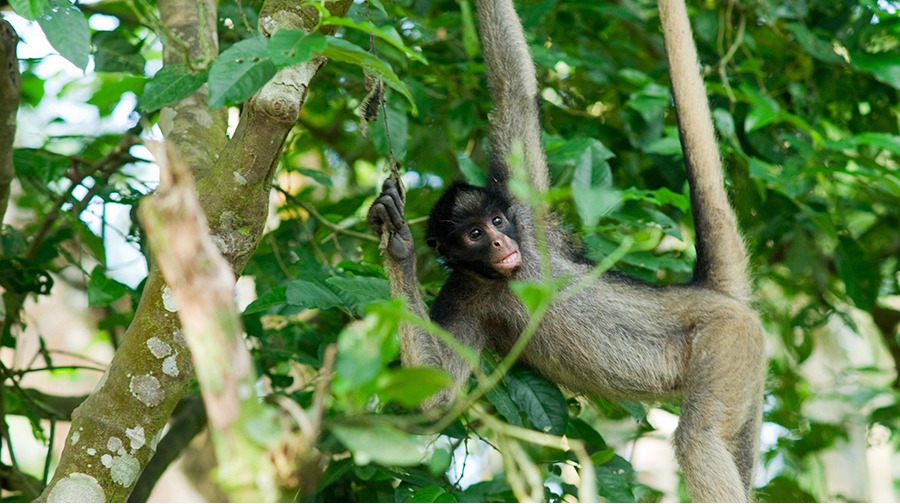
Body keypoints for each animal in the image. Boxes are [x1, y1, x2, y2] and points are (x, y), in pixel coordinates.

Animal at [366, 0, 766, 501]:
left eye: (495, 222)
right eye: (474, 234)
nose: (500, 242)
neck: (504, 277)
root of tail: (708, 293)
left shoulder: (527, 216)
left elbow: (515, 89)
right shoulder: (462, 294)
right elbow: (437, 399)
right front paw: (398, 245)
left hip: (727, 338)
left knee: (699, 438)